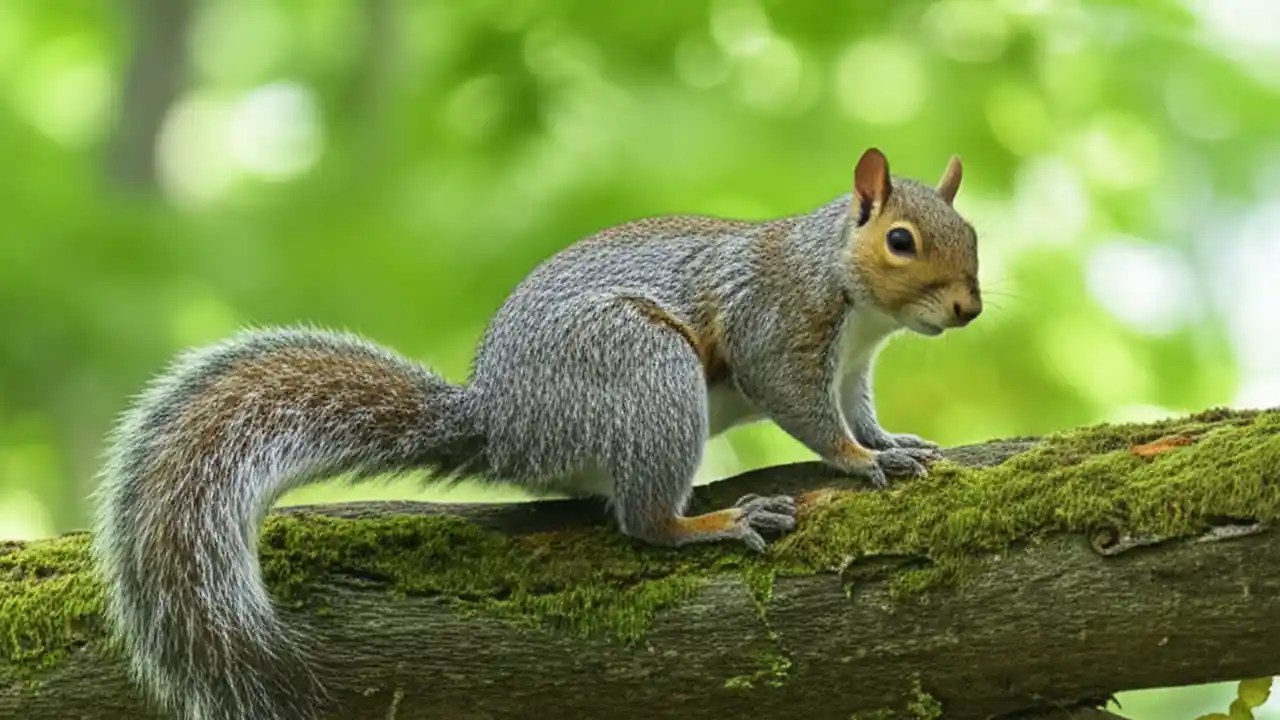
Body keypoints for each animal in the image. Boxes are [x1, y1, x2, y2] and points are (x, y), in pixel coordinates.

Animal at [93, 147, 981, 720]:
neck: (853, 299)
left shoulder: (854, 369)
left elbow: (858, 409)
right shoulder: (778, 325)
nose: (969, 308)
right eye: (901, 240)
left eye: (971, 235)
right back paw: (715, 522)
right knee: (641, 521)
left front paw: (893, 443)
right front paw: (859, 461)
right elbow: (807, 411)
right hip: (644, 371)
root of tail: (501, 422)